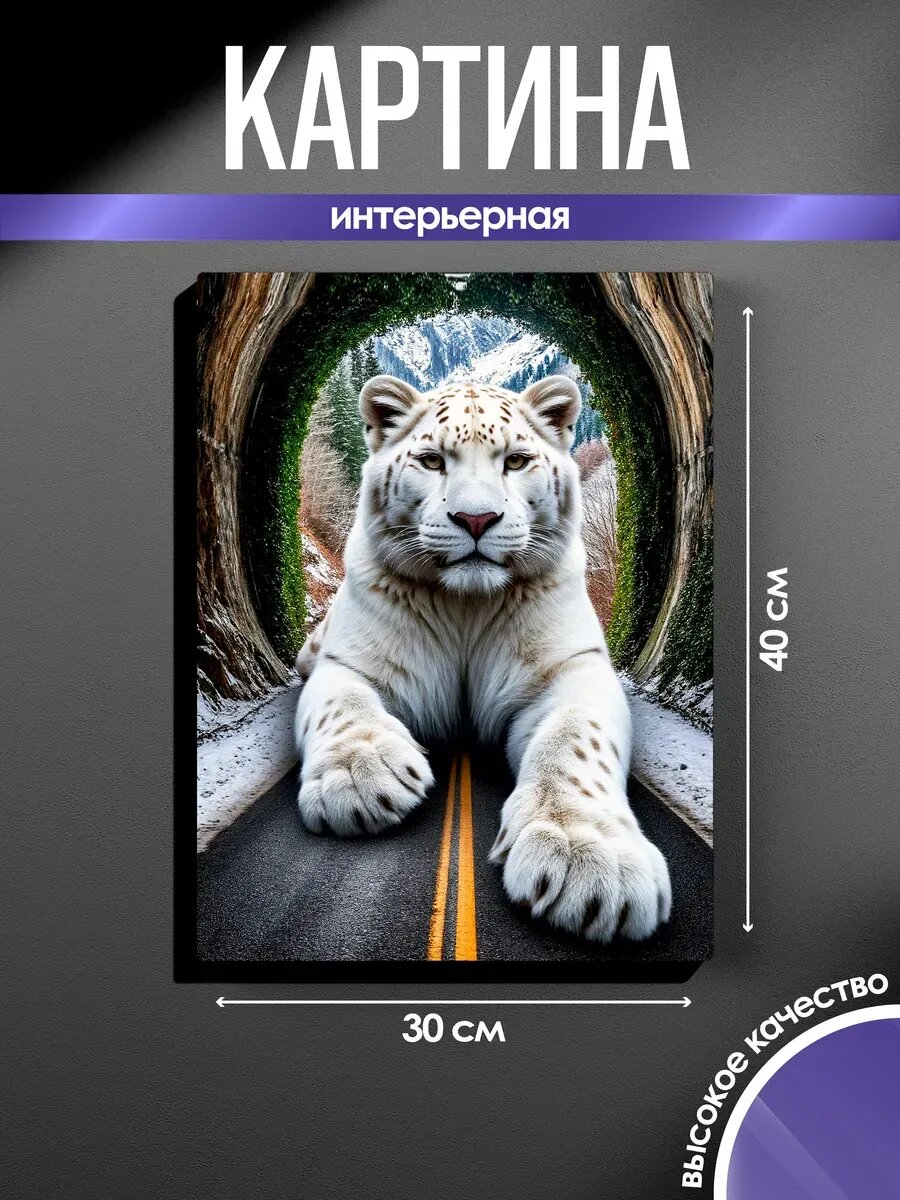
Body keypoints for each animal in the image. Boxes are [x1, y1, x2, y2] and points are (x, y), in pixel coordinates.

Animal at [294, 374, 671, 942]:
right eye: (432, 461)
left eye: (515, 460)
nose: (476, 519)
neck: (467, 606)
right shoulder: (350, 662)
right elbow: (342, 706)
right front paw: (358, 777)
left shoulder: (572, 668)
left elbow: (575, 738)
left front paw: (589, 860)